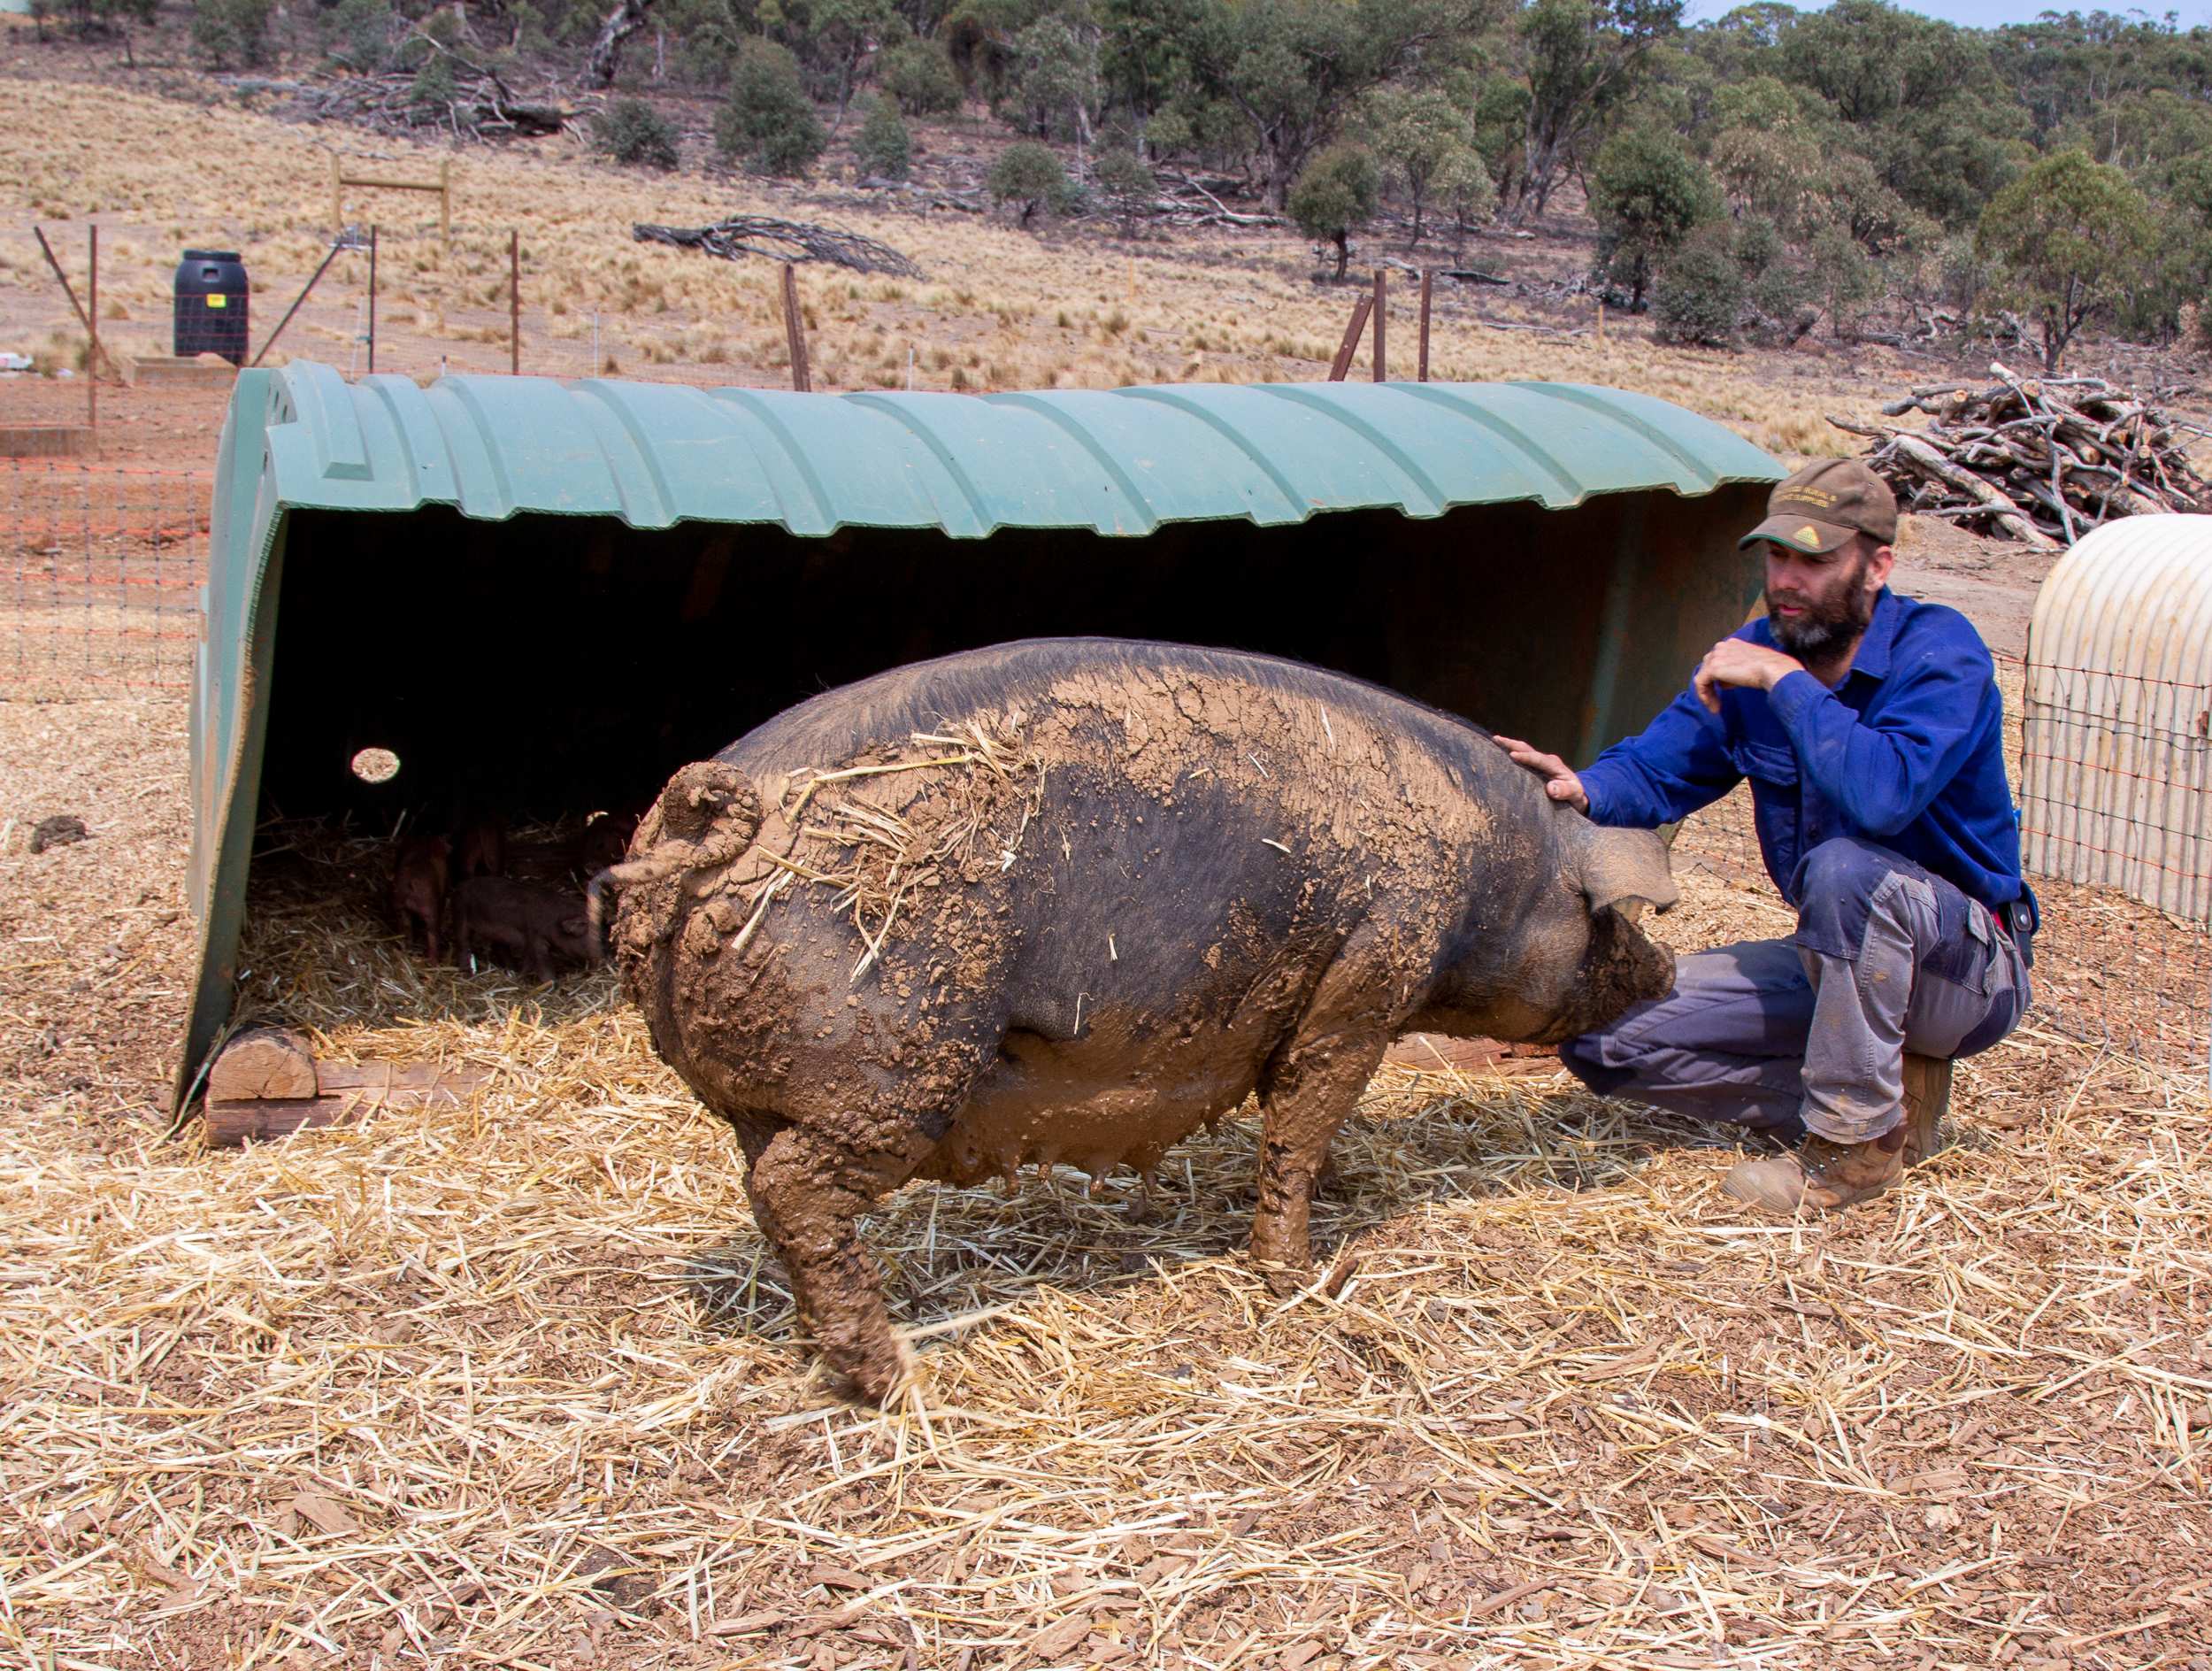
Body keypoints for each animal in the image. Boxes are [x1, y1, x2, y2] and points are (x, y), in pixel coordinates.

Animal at [389, 833, 451, 964]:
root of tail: (411, 882)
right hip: (429, 909)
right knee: (432, 934)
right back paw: (434, 962)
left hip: (400, 906)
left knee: (406, 928)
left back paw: (405, 950)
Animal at [452, 875, 598, 982]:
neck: (553, 921)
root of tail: (461, 885)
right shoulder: (535, 937)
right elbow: (543, 965)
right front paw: (551, 987)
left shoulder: (529, 942)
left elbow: (529, 962)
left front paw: (520, 977)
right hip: (460, 913)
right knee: (463, 942)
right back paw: (467, 973)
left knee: (500, 947)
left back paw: (511, 971)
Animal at [597, 639, 1677, 1402]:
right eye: (1609, 920)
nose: (1668, 971)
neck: (1500, 877)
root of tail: (708, 818)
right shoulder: (1373, 968)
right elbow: (1306, 1109)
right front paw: (1307, 1276)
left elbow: (1307, 1119)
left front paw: (1344, 1192)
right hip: (890, 1060)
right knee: (795, 1191)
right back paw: (898, 1379)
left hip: (768, 1086)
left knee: (761, 1182)